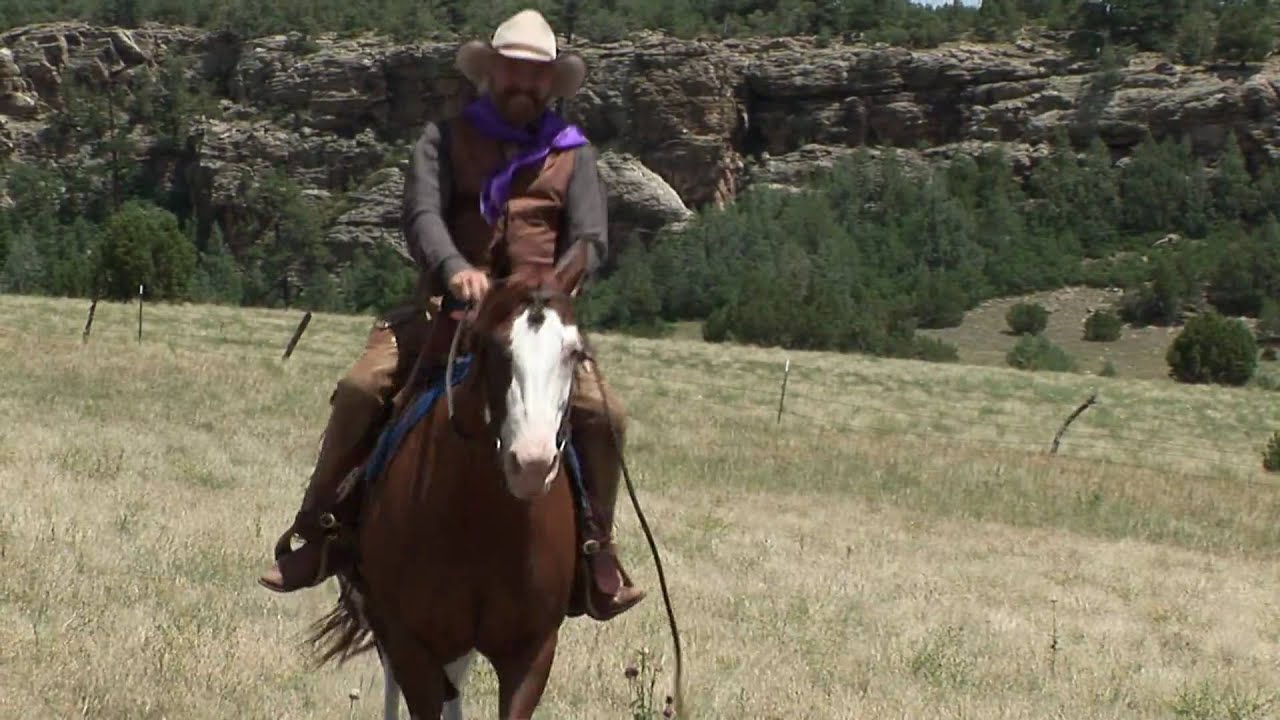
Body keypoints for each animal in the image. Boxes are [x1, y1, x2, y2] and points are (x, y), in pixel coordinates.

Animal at [308, 240, 596, 719]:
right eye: (494, 347)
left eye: (573, 352)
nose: (532, 463)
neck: (481, 516)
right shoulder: (411, 642)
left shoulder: (531, 651)